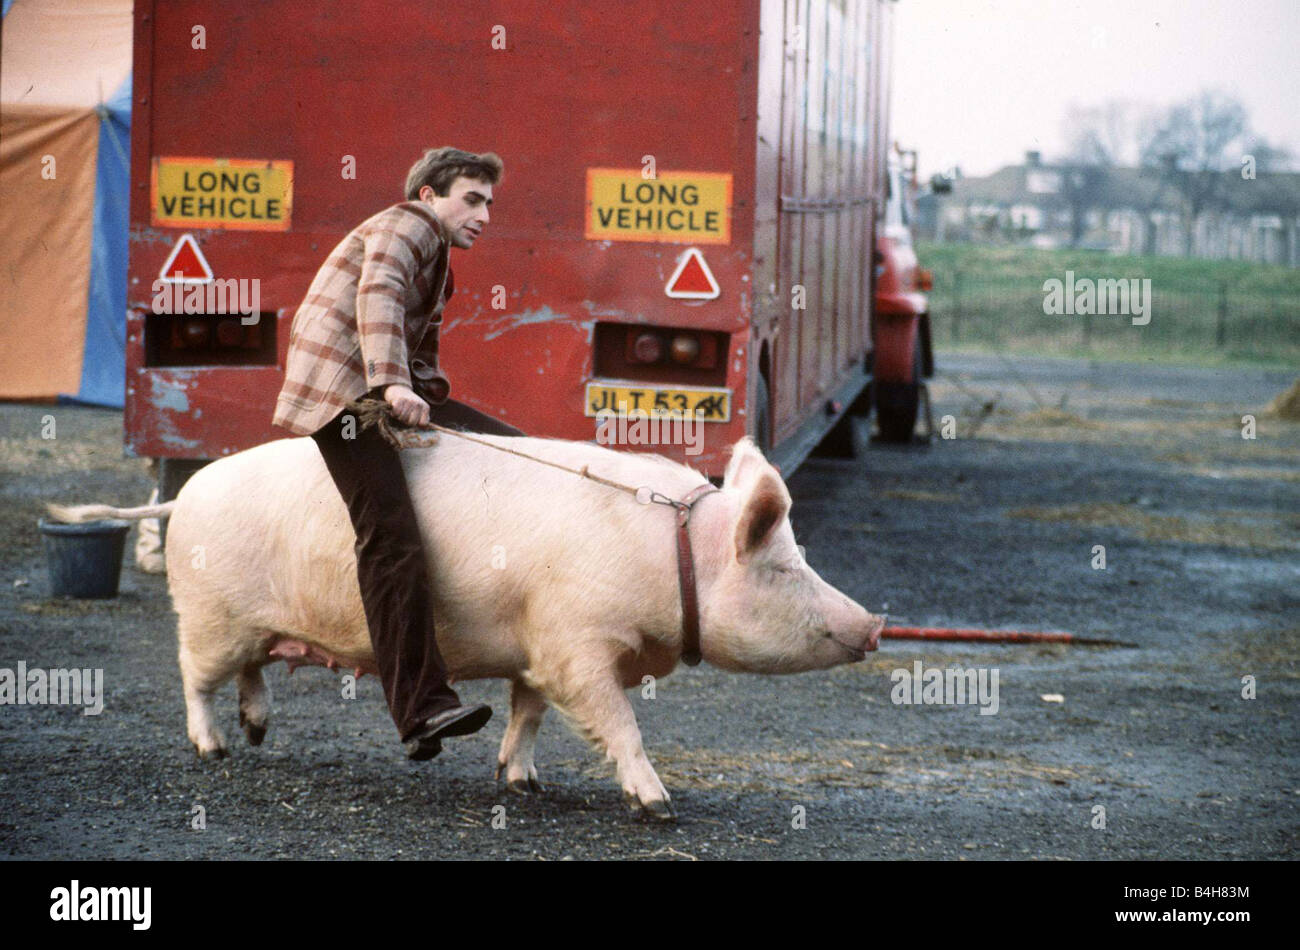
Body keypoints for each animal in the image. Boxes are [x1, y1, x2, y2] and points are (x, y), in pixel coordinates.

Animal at [51, 434, 884, 819]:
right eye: (783, 570)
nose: (876, 622)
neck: (668, 553)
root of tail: (184, 493)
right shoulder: (578, 643)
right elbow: (619, 724)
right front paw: (658, 807)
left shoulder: (538, 648)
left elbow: (530, 713)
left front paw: (523, 781)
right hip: (209, 616)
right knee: (192, 676)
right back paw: (216, 749)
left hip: (253, 626)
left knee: (254, 672)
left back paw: (257, 732)